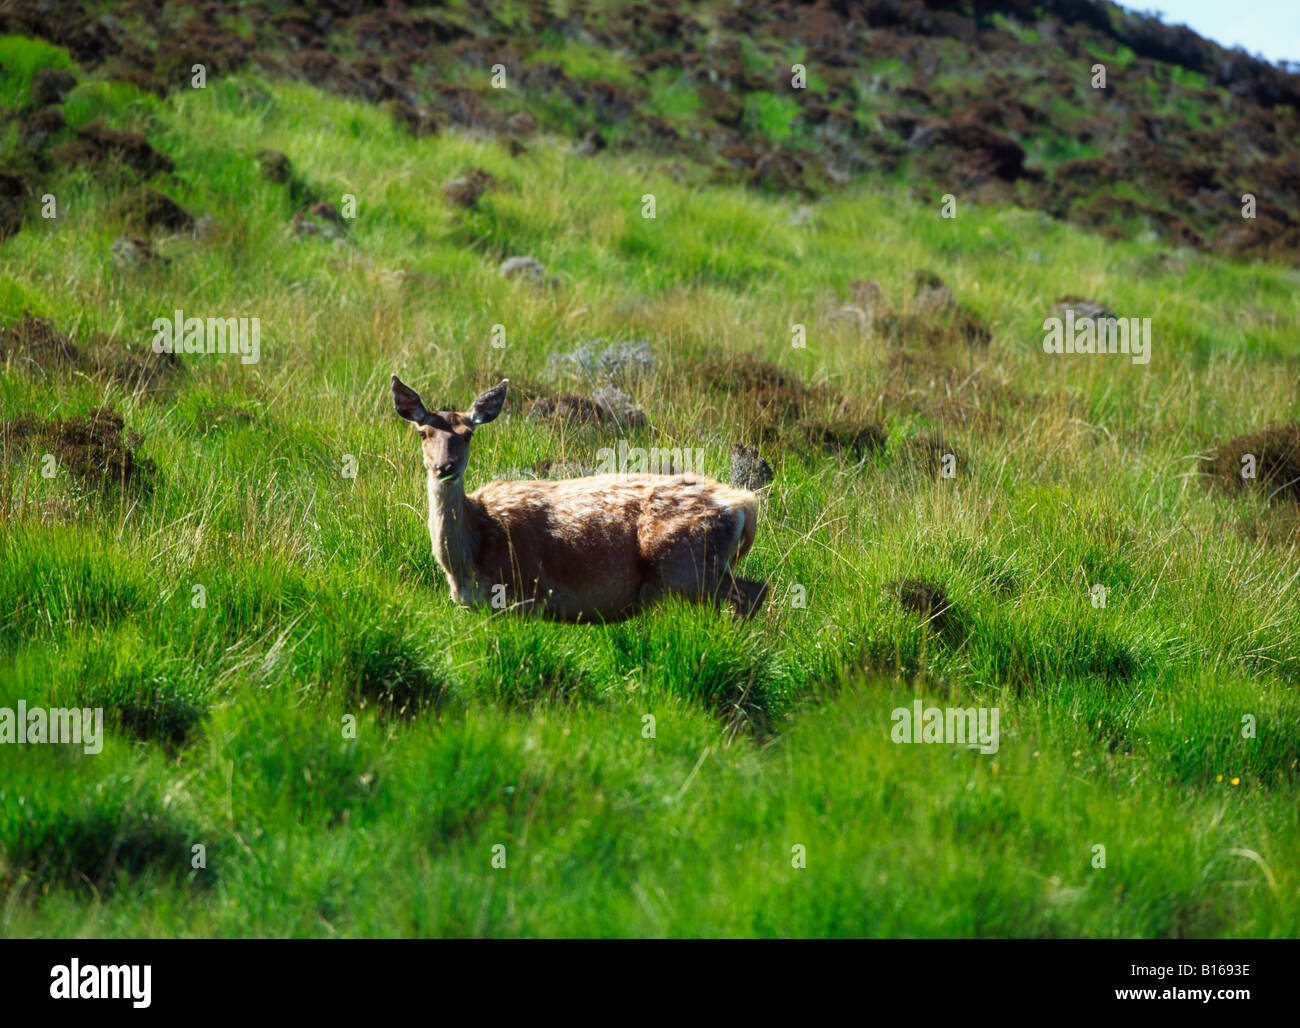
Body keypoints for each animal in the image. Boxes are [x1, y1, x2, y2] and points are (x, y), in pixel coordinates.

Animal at [391, 375, 768, 622]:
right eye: (423, 432)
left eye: (468, 434)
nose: (445, 467)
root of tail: (743, 505)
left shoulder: (525, 595)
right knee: (755, 589)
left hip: (686, 567)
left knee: (749, 594)